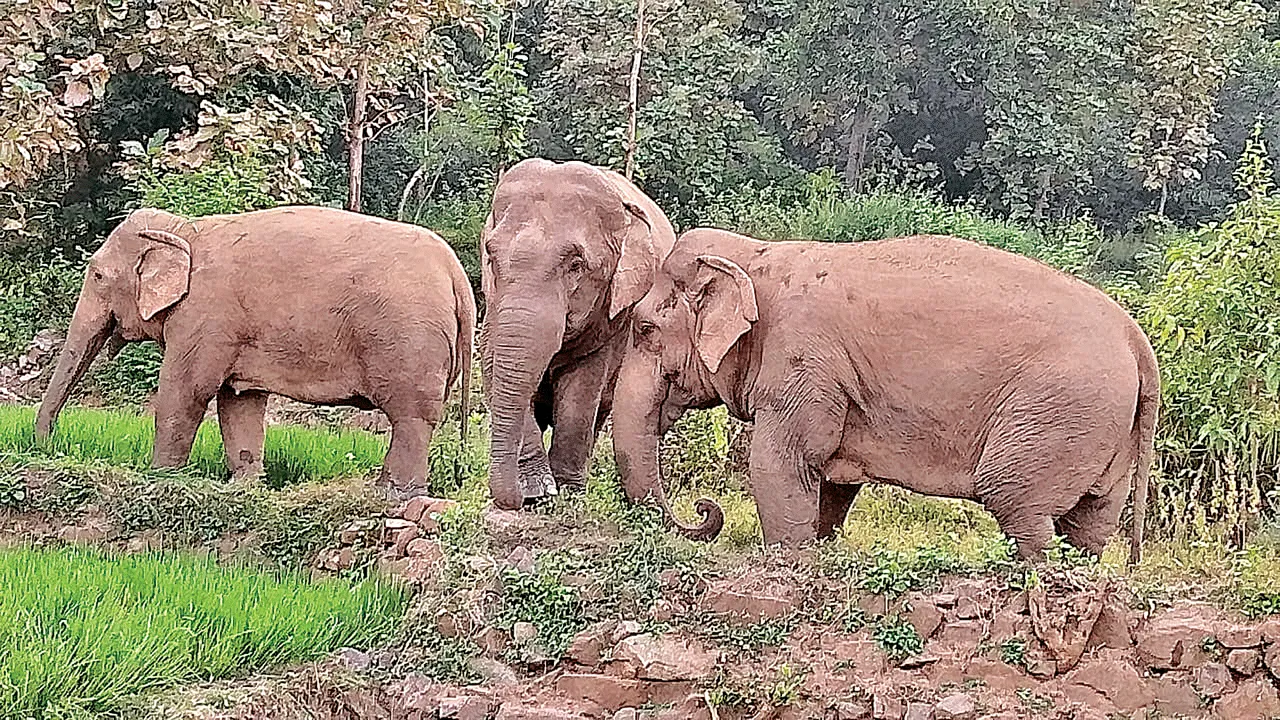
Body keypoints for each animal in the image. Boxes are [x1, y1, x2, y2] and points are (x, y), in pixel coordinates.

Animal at [35, 206, 475, 497]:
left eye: (97, 275)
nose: (50, 444)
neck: (186, 229)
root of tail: (458, 278)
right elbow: (238, 403)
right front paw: (244, 486)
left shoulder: (205, 316)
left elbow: (185, 393)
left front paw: (159, 478)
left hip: (408, 341)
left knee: (411, 417)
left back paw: (393, 493)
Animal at [480, 158, 676, 510]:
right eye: (491, 256)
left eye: (576, 265)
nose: (510, 500)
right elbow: (493, 363)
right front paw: (538, 490)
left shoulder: (615, 315)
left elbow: (582, 388)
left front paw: (564, 492)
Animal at [612, 228, 1159, 563]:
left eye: (643, 329)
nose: (706, 511)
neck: (758, 254)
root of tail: (1137, 340)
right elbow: (831, 481)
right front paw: (819, 548)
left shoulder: (804, 363)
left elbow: (781, 463)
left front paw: (789, 560)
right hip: (1106, 431)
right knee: (1088, 523)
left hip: (1058, 413)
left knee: (1019, 506)